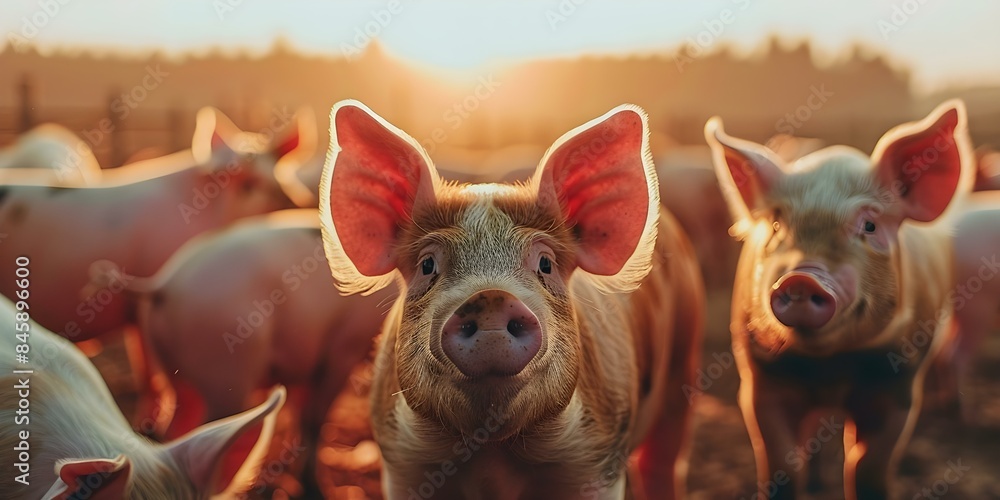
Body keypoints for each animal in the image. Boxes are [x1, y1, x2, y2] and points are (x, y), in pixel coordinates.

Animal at [319, 100, 704, 499]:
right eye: (427, 265)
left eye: (546, 264)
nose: (491, 297)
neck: (492, 455)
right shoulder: (401, 461)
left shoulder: (598, 458)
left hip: (684, 357)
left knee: (663, 458)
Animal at [705, 100, 974, 499]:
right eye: (776, 226)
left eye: (870, 226)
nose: (801, 277)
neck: (830, 366)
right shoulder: (760, 383)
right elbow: (784, 463)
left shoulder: (899, 388)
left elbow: (866, 467)